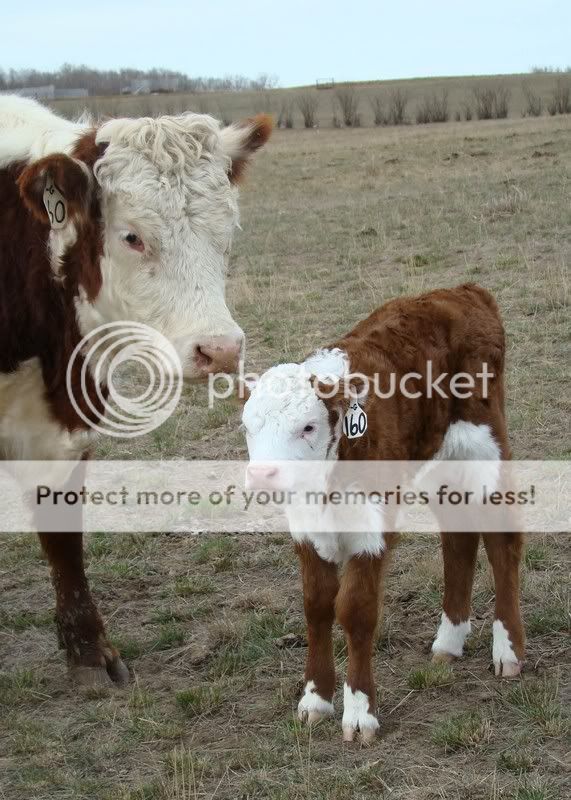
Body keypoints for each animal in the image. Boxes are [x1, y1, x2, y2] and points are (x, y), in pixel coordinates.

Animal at [0, 95, 271, 686]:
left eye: (227, 234)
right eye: (132, 236)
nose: (220, 350)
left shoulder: (60, 422)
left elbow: (62, 532)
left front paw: (87, 650)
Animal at [242, 284, 525, 744]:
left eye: (308, 427)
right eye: (248, 427)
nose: (263, 476)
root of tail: (463, 291)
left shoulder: (371, 529)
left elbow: (355, 610)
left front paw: (359, 713)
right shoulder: (306, 529)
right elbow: (316, 605)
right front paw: (315, 701)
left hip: (486, 446)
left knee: (503, 540)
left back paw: (508, 649)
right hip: (439, 459)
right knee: (458, 537)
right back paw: (449, 641)